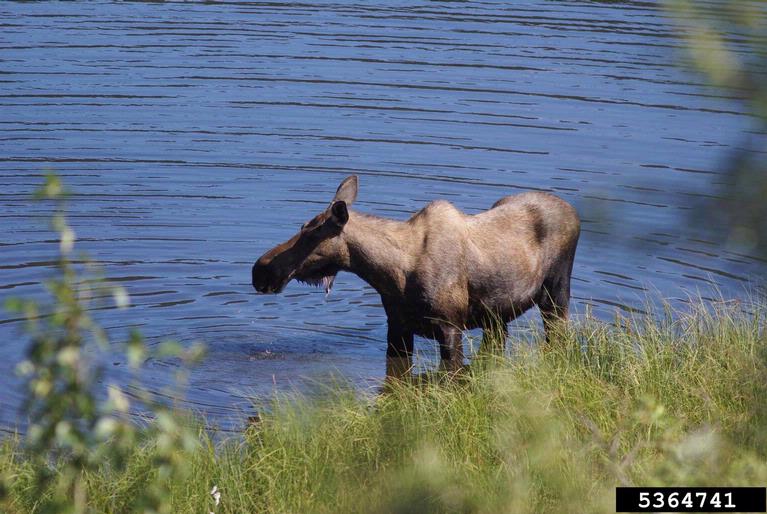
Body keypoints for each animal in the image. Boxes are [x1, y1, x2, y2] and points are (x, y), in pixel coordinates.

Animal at [252, 176, 580, 379]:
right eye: (303, 227)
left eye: (311, 234)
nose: (260, 270)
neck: (391, 274)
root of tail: (573, 212)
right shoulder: (397, 328)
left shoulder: (450, 327)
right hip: (496, 318)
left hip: (556, 293)